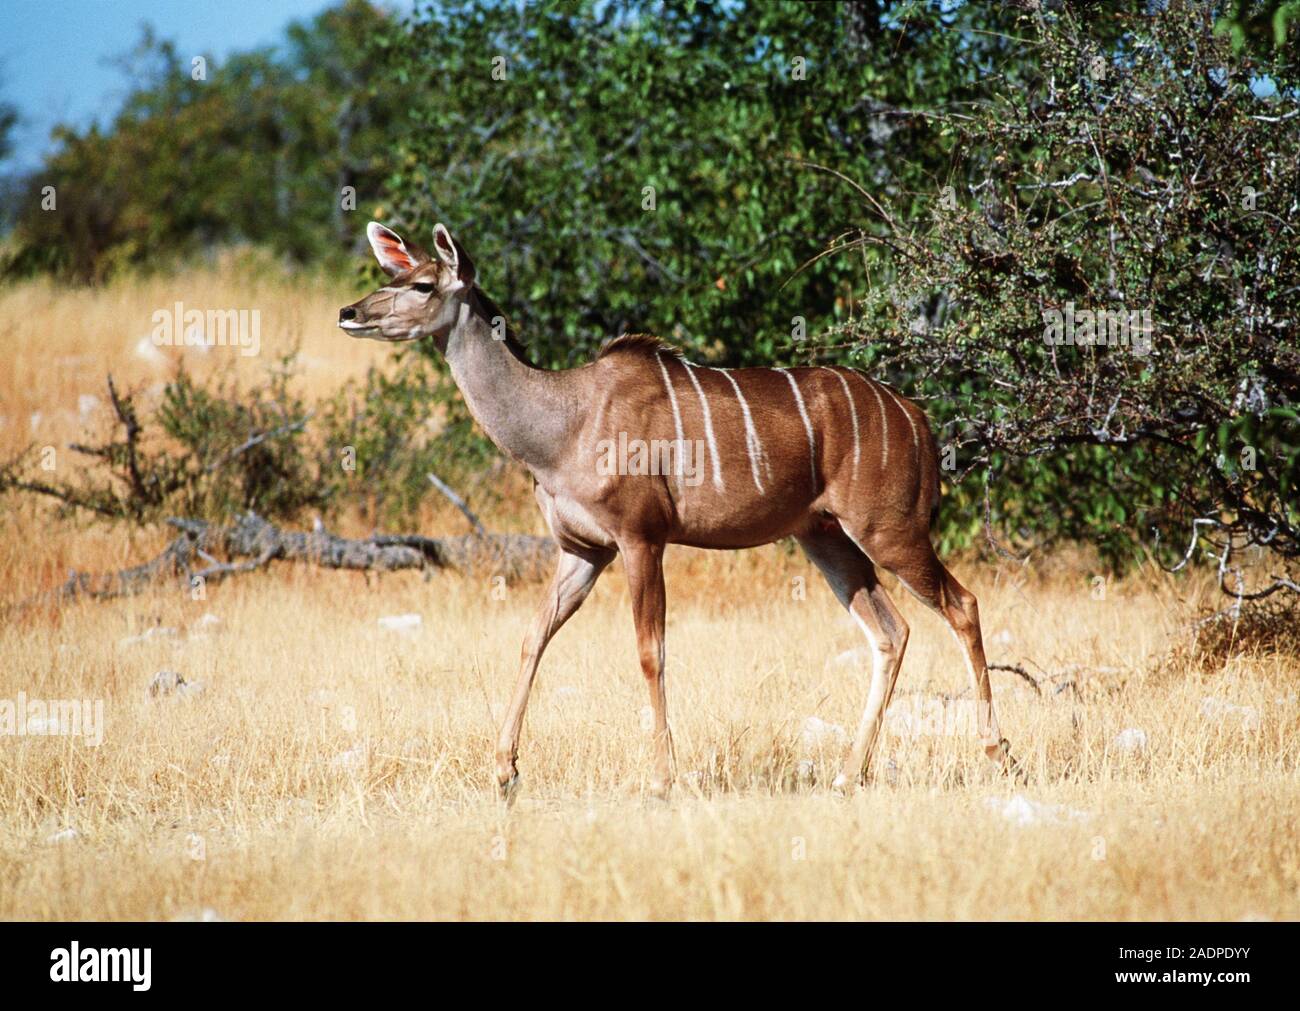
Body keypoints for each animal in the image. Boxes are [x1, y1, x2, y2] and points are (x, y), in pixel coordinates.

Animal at [339, 221, 1017, 800]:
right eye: (396, 272)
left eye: (422, 284)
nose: (349, 313)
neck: (559, 425)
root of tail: (920, 422)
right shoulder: (582, 550)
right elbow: (533, 637)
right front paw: (505, 771)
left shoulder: (641, 537)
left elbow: (650, 651)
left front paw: (663, 778)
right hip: (825, 537)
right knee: (891, 631)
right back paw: (849, 774)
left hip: (890, 529)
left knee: (962, 604)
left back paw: (995, 753)